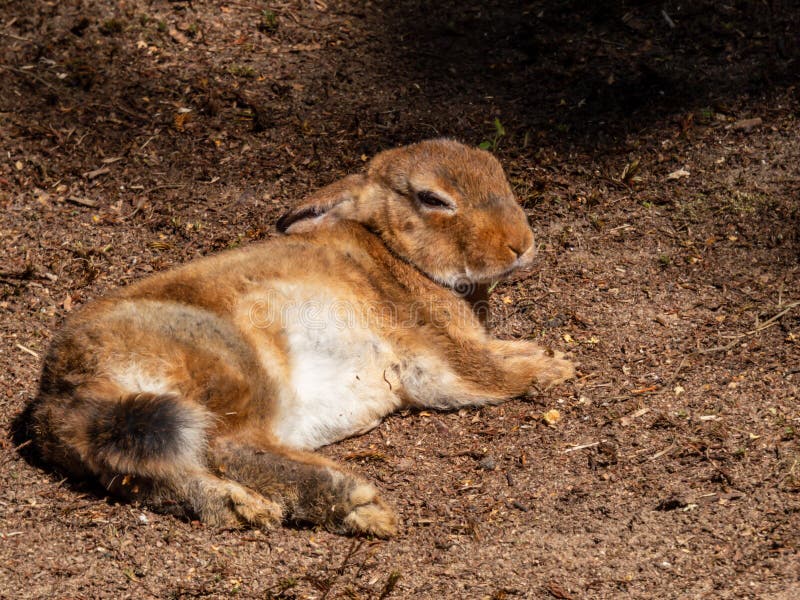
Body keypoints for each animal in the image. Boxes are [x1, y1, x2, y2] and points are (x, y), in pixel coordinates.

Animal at [25, 138, 576, 536]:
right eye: (433, 199)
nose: (521, 246)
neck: (394, 253)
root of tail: (62, 396)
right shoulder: (442, 355)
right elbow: (495, 372)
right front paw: (558, 367)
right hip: (230, 365)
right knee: (229, 445)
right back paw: (355, 501)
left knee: (169, 471)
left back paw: (251, 509)